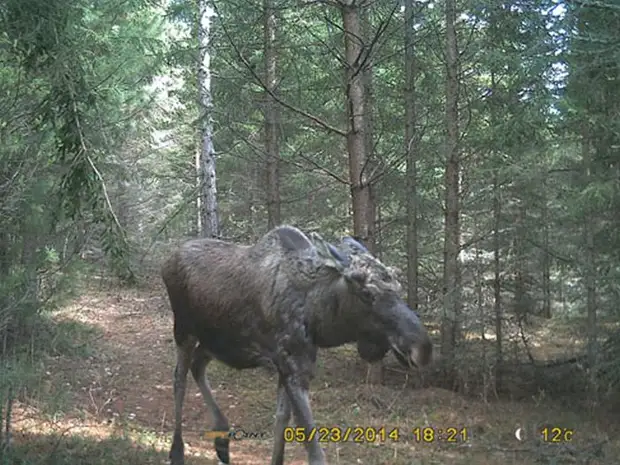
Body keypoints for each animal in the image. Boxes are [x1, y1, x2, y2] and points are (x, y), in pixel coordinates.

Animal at [161, 223, 432, 462]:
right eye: (367, 293)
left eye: (398, 285)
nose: (423, 349)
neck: (316, 316)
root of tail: (167, 260)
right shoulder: (294, 368)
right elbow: (313, 449)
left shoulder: (286, 367)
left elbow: (281, 421)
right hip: (183, 330)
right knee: (178, 379)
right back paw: (177, 451)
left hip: (215, 342)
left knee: (197, 366)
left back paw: (221, 439)